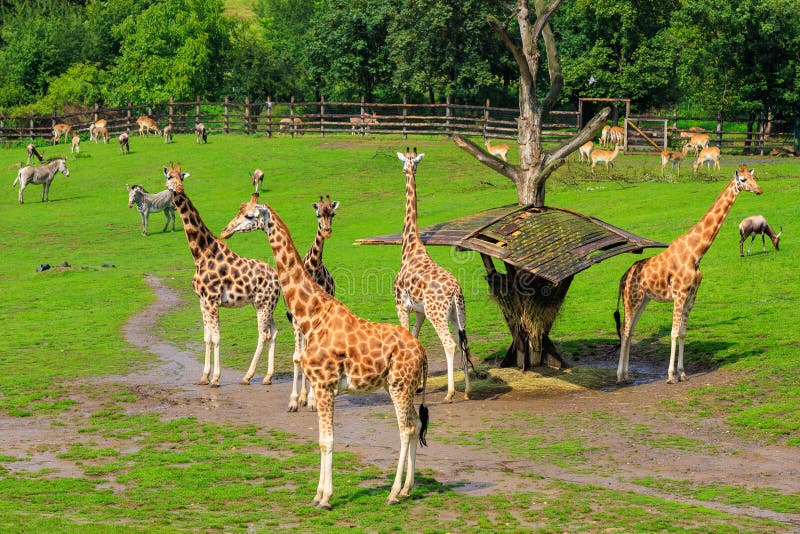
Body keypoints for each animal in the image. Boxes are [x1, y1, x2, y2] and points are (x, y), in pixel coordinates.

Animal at [163, 162, 281, 388]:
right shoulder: (202, 301)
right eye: (168, 177)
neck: (200, 252)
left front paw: (216, 378)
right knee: (274, 332)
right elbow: (207, 337)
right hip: (264, 304)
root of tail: (278, 280)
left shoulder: (212, 299)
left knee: (263, 334)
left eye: (181, 176)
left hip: (263, 304)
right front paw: (204, 377)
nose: (179, 189)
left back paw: (248, 376)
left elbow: (217, 337)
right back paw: (268, 377)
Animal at [220, 193, 429, 509]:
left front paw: (326, 498)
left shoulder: (323, 385)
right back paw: (407, 489)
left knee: (405, 429)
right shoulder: (321, 387)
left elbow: (327, 440)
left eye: (249, 216)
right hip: (400, 386)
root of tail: (423, 353)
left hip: (399, 385)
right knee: (416, 424)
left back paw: (393, 493)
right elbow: (320, 439)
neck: (312, 314)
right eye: (239, 211)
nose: (225, 231)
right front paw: (318, 494)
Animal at [395, 147, 472, 402]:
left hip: (437, 314)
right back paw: (468, 390)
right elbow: (415, 339)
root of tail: (455, 290)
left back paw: (450, 392)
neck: (409, 248)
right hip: (458, 313)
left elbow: (407, 336)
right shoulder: (419, 310)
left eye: (404, 164)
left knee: (450, 343)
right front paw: (418, 386)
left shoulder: (401, 305)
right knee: (463, 340)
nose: (407, 170)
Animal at [614, 166, 763, 384]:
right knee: (625, 329)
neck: (696, 252)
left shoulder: (692, 295)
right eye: (743, 180)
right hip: (631, 298)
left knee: (630, 329)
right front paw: (670, 376)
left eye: (753, 177)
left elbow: (683, 333)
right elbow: (673, 333)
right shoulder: (679, 294)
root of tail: (622, 278)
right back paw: (619, 376)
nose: (759, 190)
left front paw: (682, 373)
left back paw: (626, 375)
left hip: (644, 300)